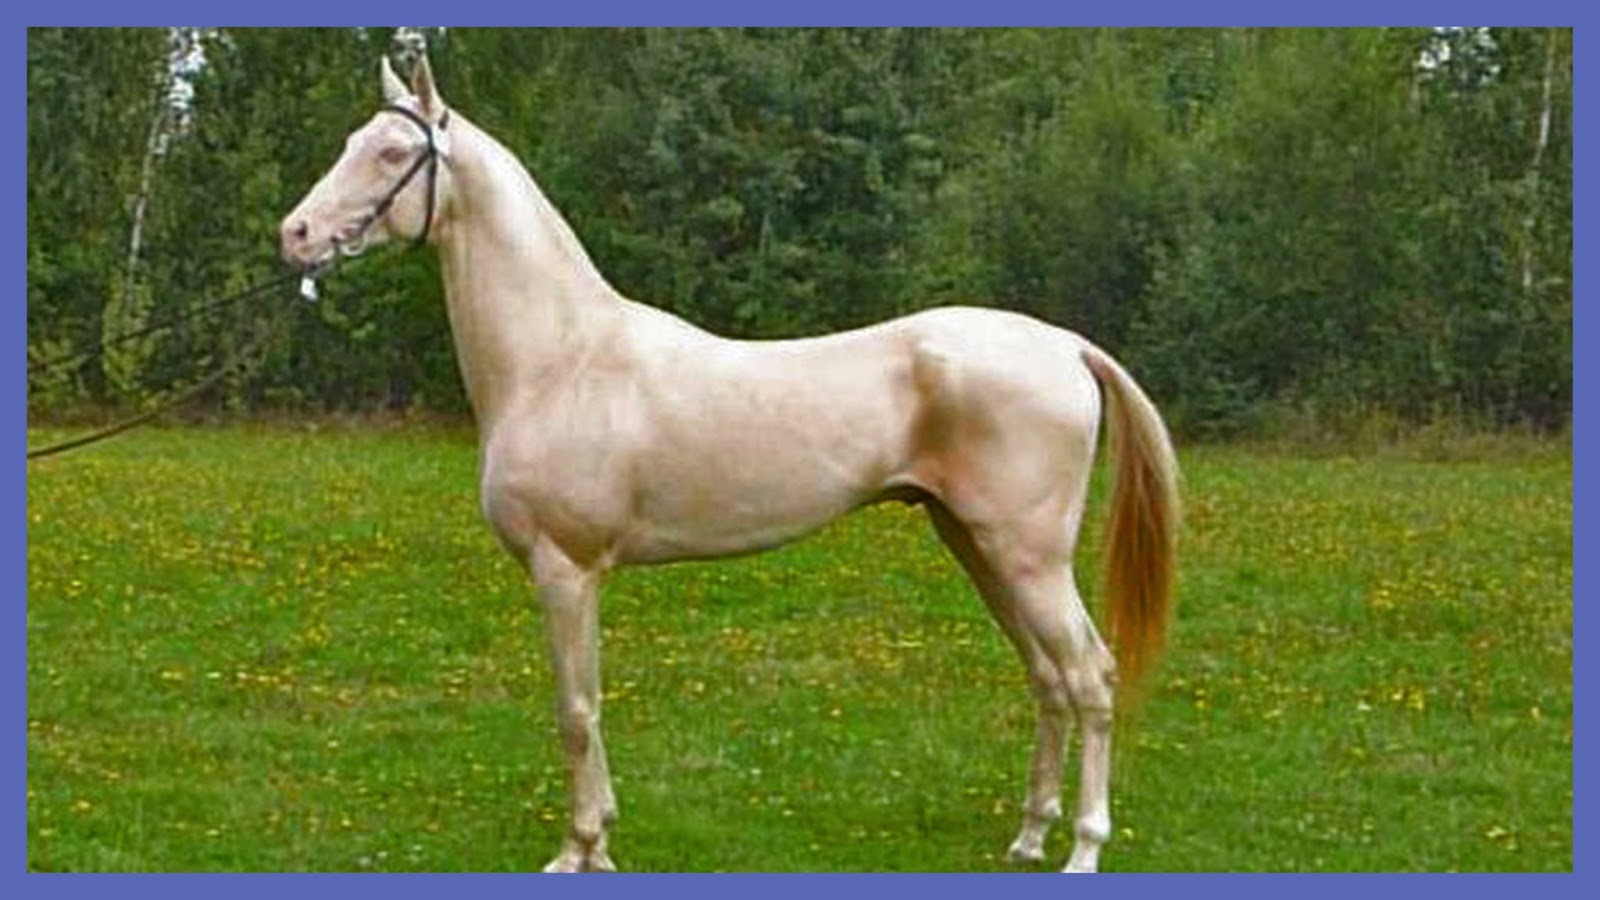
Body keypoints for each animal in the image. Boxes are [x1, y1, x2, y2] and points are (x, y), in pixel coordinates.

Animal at [280, 53, 1179, 874]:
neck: (561, 358)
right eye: (355, 141)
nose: (296, 235)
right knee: (1048, 678)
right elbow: (589, 706)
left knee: (1091, 676)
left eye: (394, 154)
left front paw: (579, 849)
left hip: (1026, 556)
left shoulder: (564, 568)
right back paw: (1029, 836)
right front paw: (604, 834)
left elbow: (576, 709)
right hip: (976, 545)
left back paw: (1083, 849)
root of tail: (1063, 345)